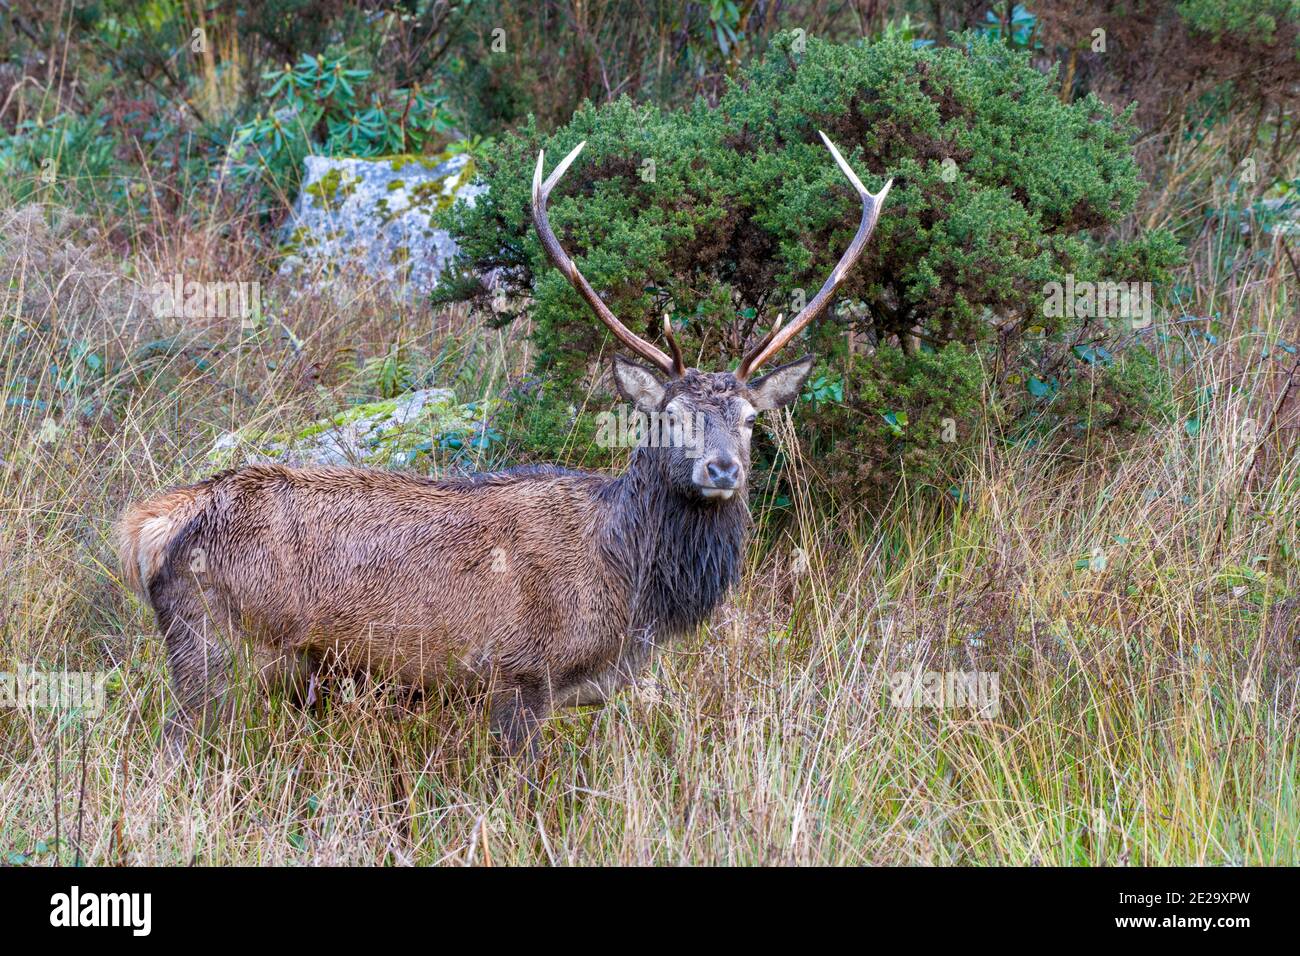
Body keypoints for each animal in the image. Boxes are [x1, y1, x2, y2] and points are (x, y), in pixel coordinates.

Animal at [116, 132, 891, 756]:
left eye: (752, 419)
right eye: (668, 416)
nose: (722, 468)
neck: (627, 582)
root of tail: (155, 525)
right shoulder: (516, 674)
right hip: (216, 651)